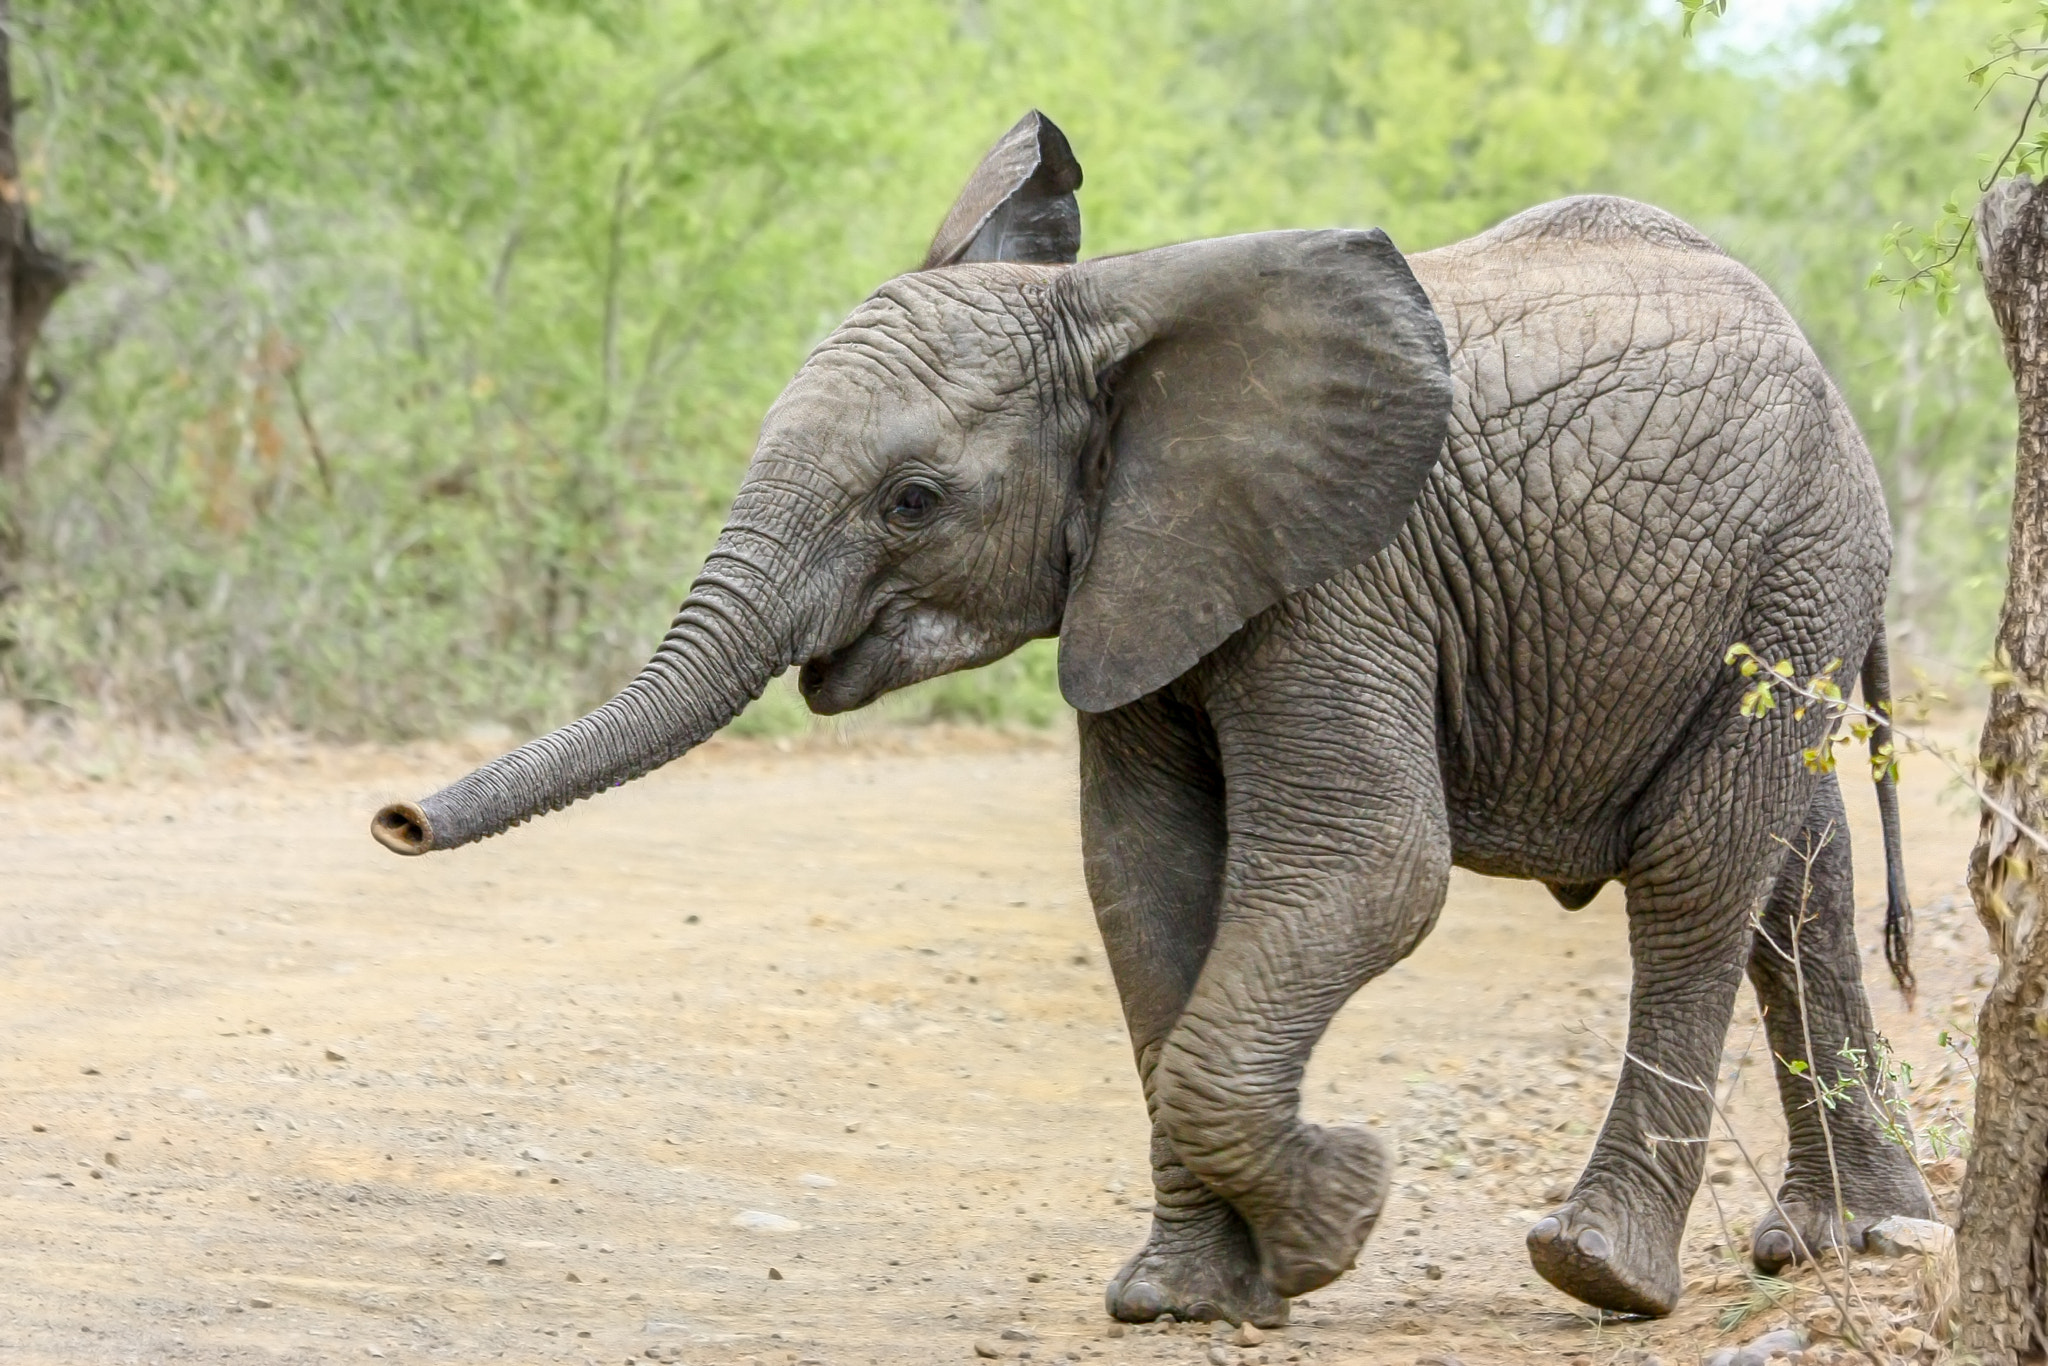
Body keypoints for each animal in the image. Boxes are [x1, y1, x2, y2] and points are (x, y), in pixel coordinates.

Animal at [372, 112, 1933, 1327]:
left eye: (913, 501)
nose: (392, 821)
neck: (1113, 315)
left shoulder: (1347, 573)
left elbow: (1369, 867)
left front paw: (1340, 1214)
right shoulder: (1138, 570)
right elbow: (1142, 879)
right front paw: (1183, 1296)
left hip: (1793, 564)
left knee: (1695, 871)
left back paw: (1600, 1270)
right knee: (1797, 879)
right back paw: (1846, 1240)